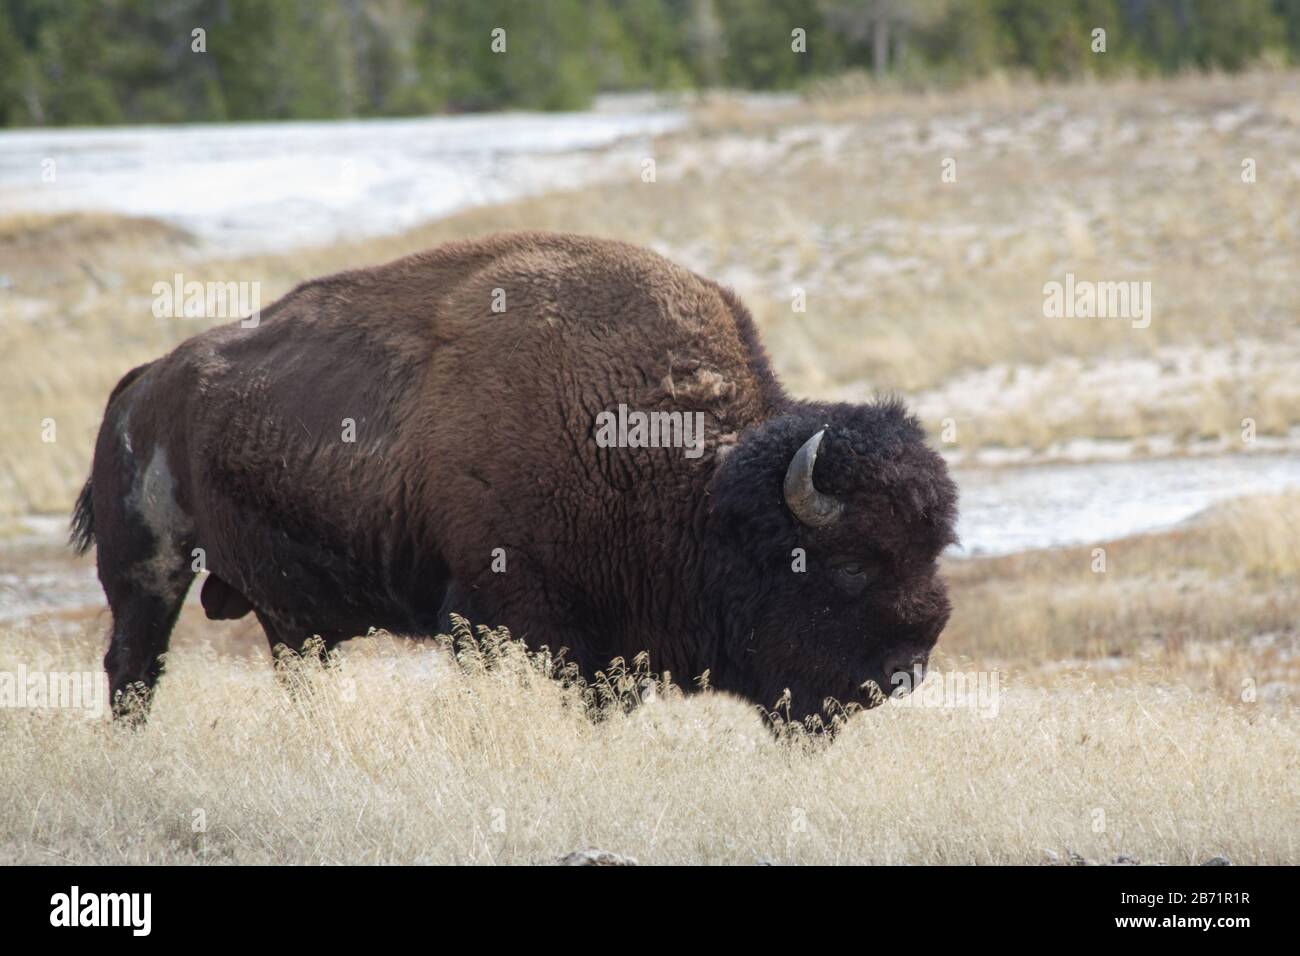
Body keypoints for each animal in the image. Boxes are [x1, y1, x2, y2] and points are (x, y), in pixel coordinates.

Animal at [72, 232, 957, 726]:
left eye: (932, 550)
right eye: (850, 564)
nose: (907, 668)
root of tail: (149, 380)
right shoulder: (500, 617)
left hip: (284, 617)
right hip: (146, 567)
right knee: (134, 667)